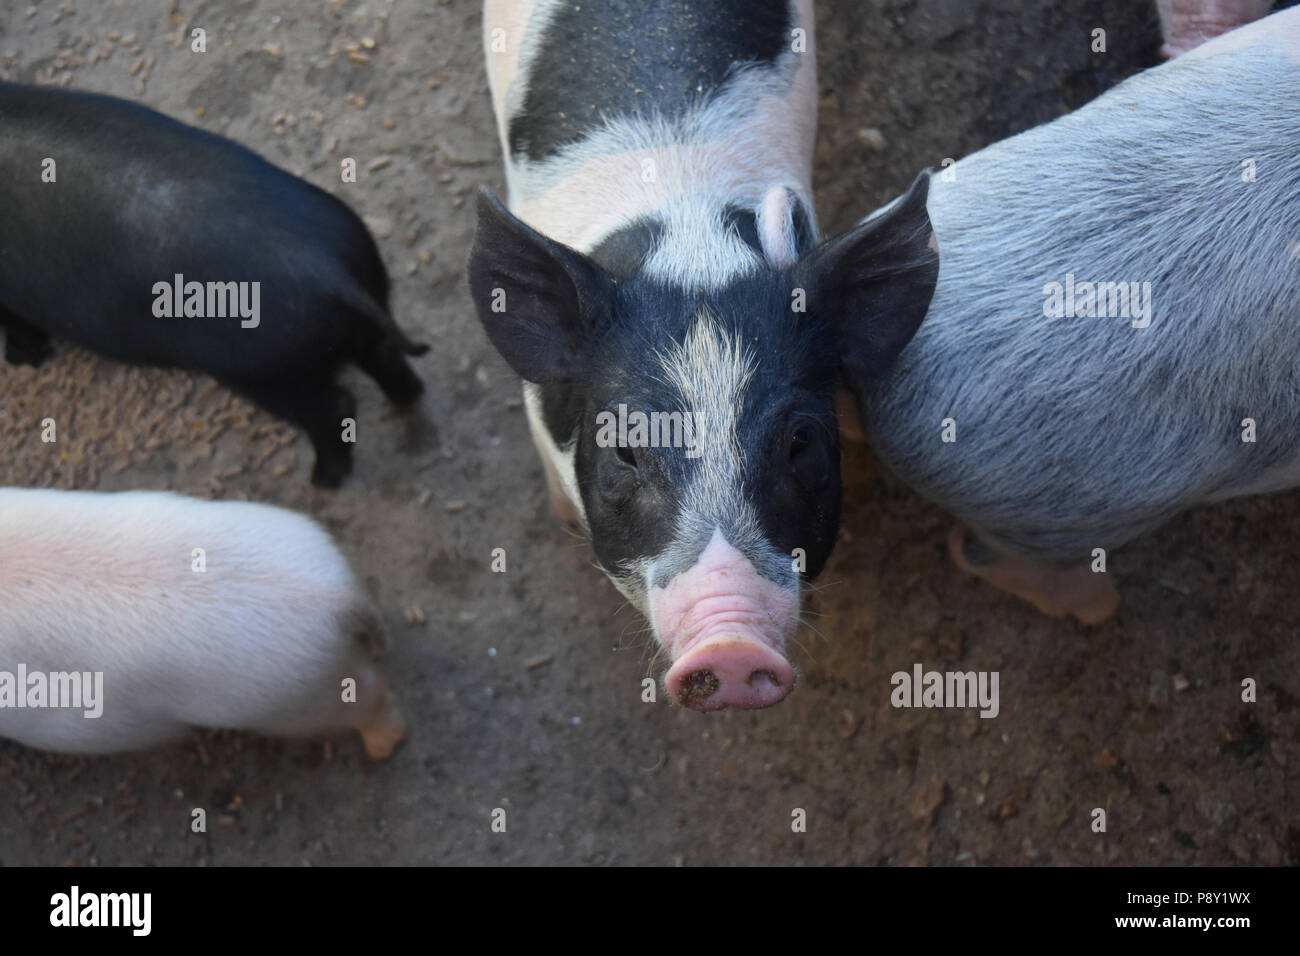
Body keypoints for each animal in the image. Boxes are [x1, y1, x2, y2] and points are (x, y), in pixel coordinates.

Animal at [0, 81, 429, 488]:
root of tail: (329, 271)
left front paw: (23, 359)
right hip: (362, 313)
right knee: (386, 361)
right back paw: (408, 403)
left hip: (268, 372)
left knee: (334, 408)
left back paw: (322, 482)